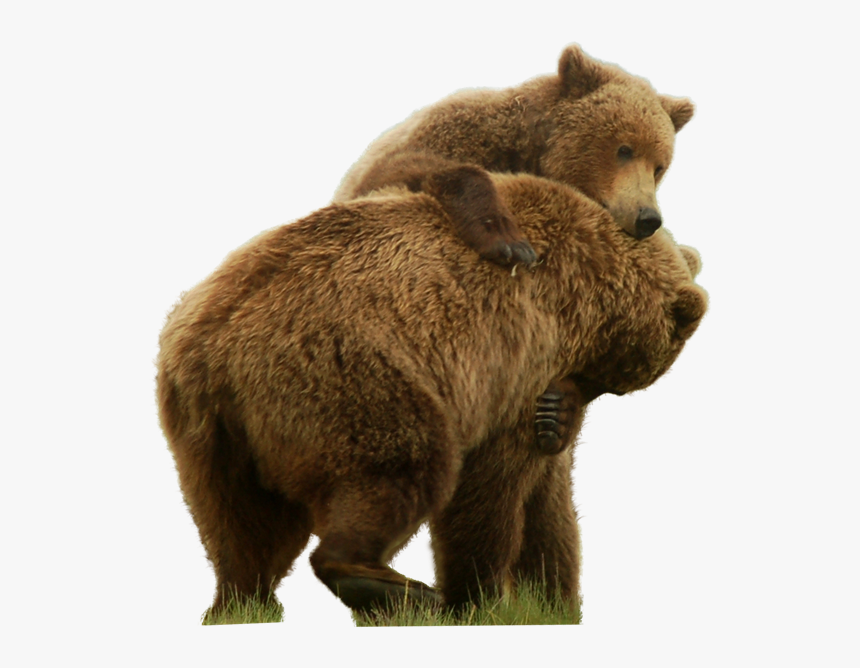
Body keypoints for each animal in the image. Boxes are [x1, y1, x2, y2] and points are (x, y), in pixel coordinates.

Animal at [157, 171, 706, 618]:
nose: (560, 409)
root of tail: (214, 342)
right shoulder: (513, 359)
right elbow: (488, 489)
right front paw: (480, 597)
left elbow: (549, 501)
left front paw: (552, 598)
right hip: (347, 374)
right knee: (404, 466)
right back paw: (394, 587)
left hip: (210, 431)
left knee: (240, 525)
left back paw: (242, 602)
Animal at [334, 44, 696, 456]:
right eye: (624, 148)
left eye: (659, 165)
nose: (647, 217)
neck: (534, 150)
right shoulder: (450, 137)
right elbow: (409, 171)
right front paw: (508, 240)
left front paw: (560, 412)